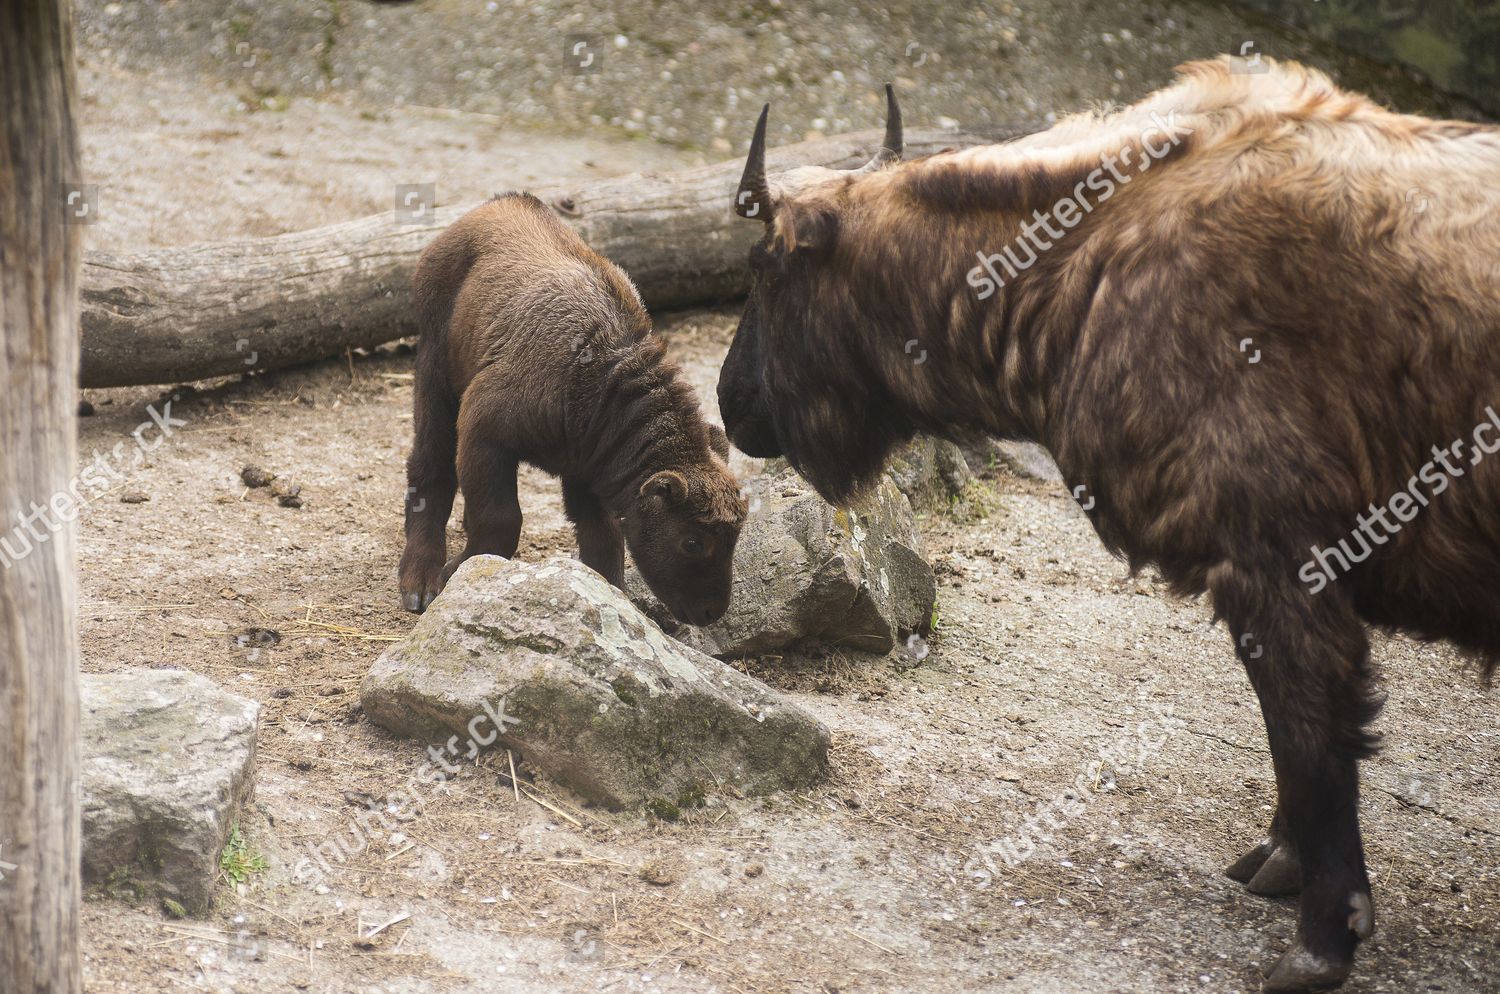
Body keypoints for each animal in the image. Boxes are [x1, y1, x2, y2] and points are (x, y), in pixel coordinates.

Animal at [400, 192, 746, 625]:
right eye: (693, 542)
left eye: (735, 538)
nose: (710, 613)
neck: (599, 381)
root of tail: (496, 204)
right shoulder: (484, 432)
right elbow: (500, 519)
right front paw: (457, 573)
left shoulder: (590, 472)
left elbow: (604, 540)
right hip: (435, 378)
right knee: (429, 466)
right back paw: (420, 581)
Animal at [716, 60, 1500, 991]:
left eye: (764, 266)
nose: (728, 404)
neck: (1092, 250)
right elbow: (1290, 737)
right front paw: (1286, 860)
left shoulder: (1281, 567)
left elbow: (1310, 737)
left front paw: (1322, 935)